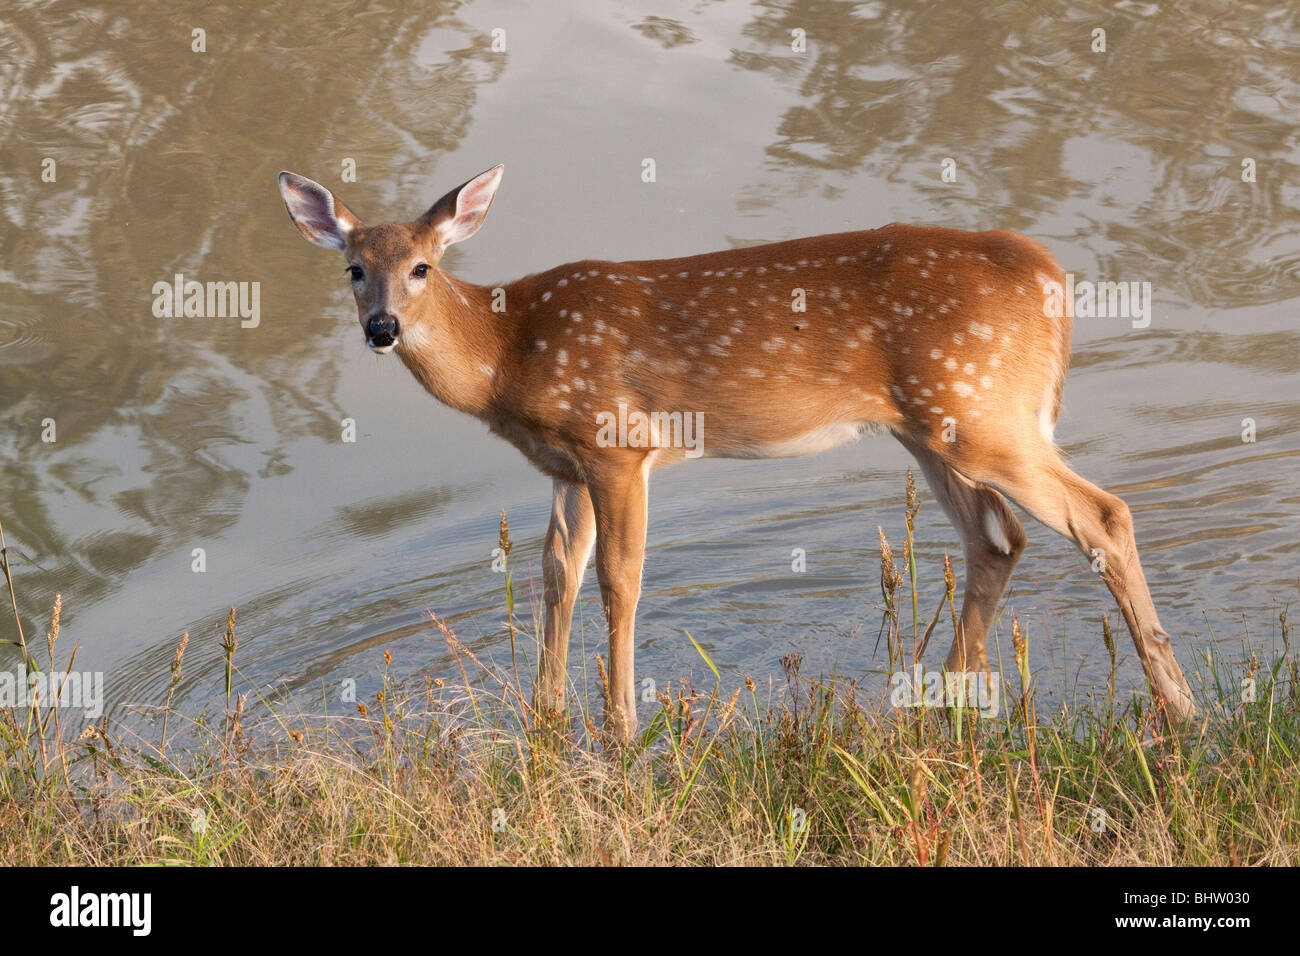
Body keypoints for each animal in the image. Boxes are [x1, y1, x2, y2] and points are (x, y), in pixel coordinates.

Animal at [278, 163, 1196, 742]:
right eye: (354, 268)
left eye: (423, 267)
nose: (381, 327)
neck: (510, 352)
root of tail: (1051, 279)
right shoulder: (566, 467)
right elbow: (555, 575)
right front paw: (544, 717)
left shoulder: (618, 443)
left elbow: (620, 581)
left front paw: (620, 727)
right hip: (936, 424)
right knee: (998, 539)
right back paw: (931, 703)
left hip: (979, 409)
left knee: (1102, 515)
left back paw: (1180, 710)